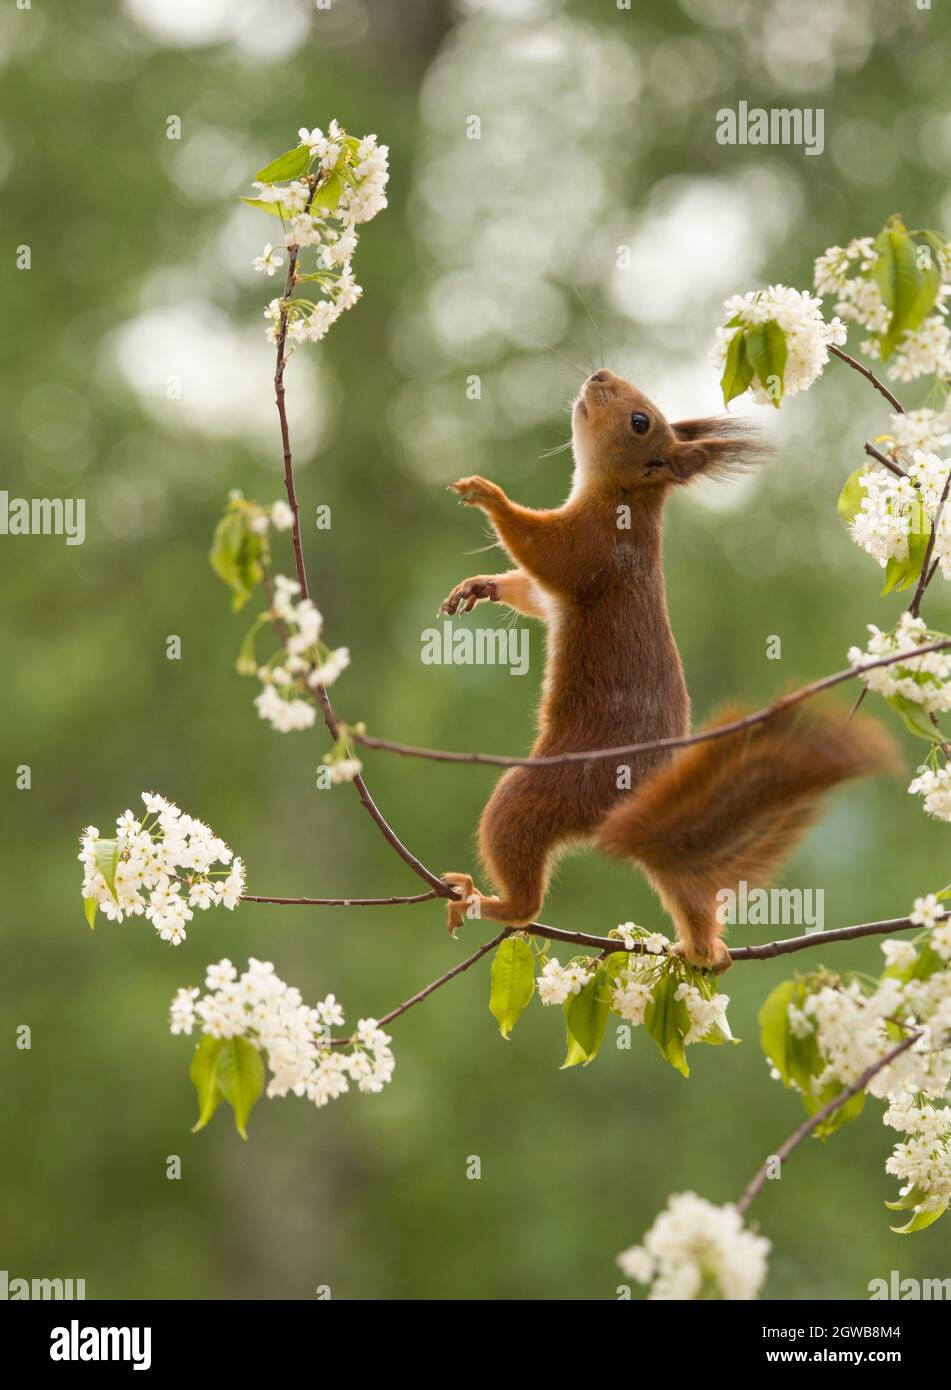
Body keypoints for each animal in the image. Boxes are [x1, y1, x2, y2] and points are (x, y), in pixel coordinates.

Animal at [438, 368, 897, 972]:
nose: (599, 375)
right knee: (684, 885)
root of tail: (633, 802)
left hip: (538, 793)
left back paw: (485, 899)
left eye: (640, 422)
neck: (628, 495)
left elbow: (545, 552)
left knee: (524, 885)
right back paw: (705, 951)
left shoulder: (597, 543)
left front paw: (487, 494)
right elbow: (535, 590)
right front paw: (481, 585)